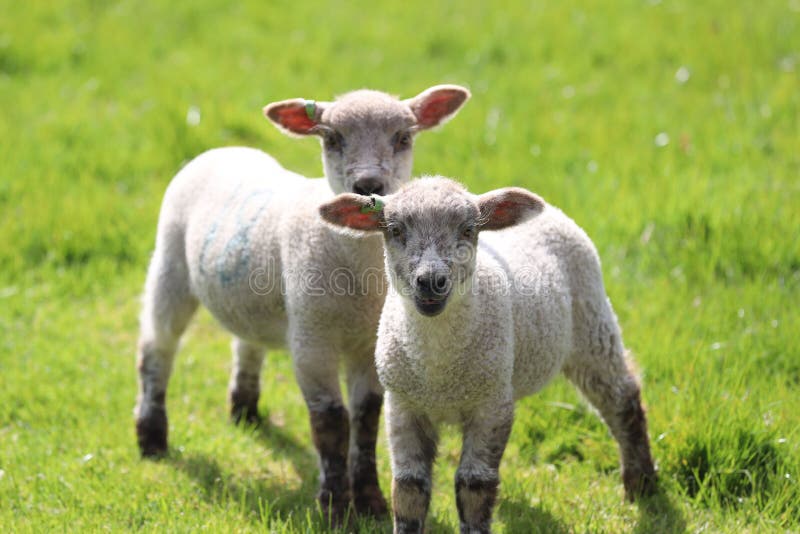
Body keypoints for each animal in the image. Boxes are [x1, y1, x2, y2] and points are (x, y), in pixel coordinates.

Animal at [134, 86, 471, 521]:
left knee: (247, 341)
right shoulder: (312, 337)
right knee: (156, 347)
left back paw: (245, 413)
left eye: (403, 138)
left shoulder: (368, 343)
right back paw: (151, 438)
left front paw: (371, 500)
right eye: (332, 139)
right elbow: (331, 423)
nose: (368, 184)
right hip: (170, 263)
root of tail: (224, 149)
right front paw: (335, 507)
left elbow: (365, 418)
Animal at [319, 177, 657, 533]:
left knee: (622, 397)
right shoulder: (404, 405)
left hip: (591, 324)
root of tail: (551, 209)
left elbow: (474, 484)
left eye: (468, 230)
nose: (431, 281)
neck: (438, 370)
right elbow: (409, 487)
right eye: (395, 230)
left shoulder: (490, 406)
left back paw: (641, 483)